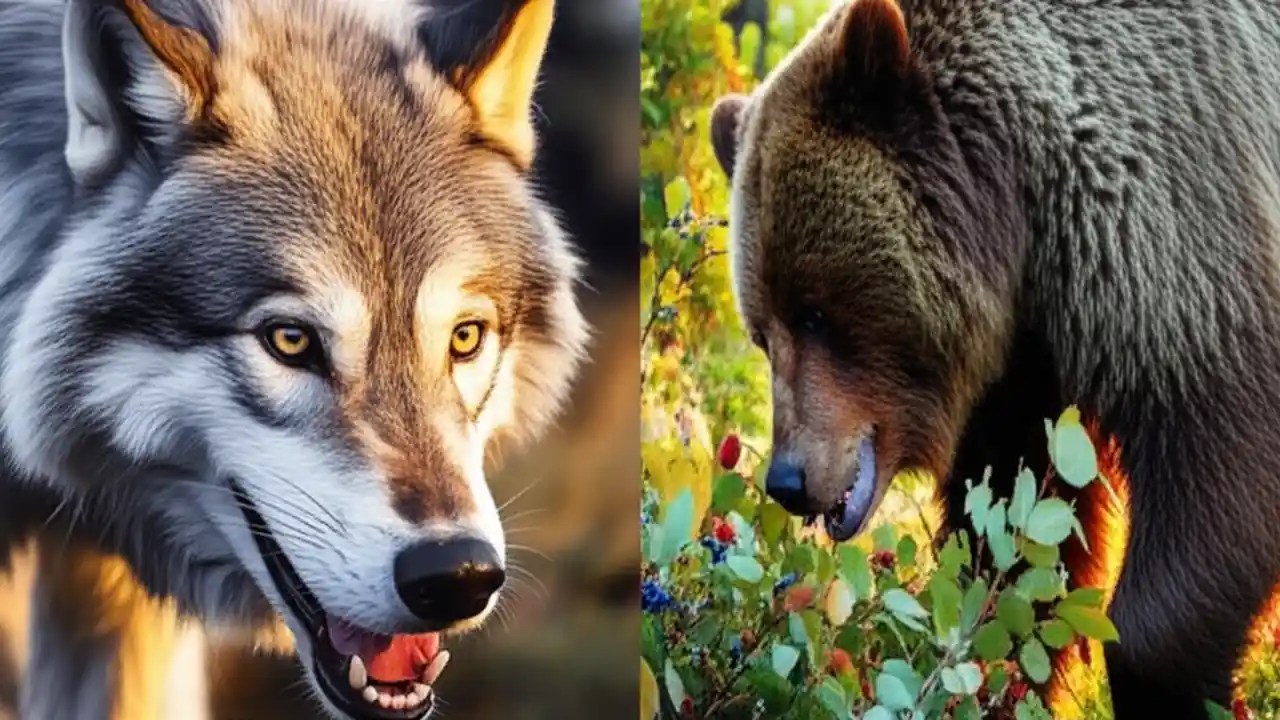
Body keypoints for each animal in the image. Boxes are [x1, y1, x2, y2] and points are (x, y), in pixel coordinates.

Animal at [709, 0, 1280, 717]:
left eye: (814, 312)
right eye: (762, 332)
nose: (788, 478)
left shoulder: (1180, 220)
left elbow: (1222, 451)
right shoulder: (1024, 371)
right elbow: (1012, 538)